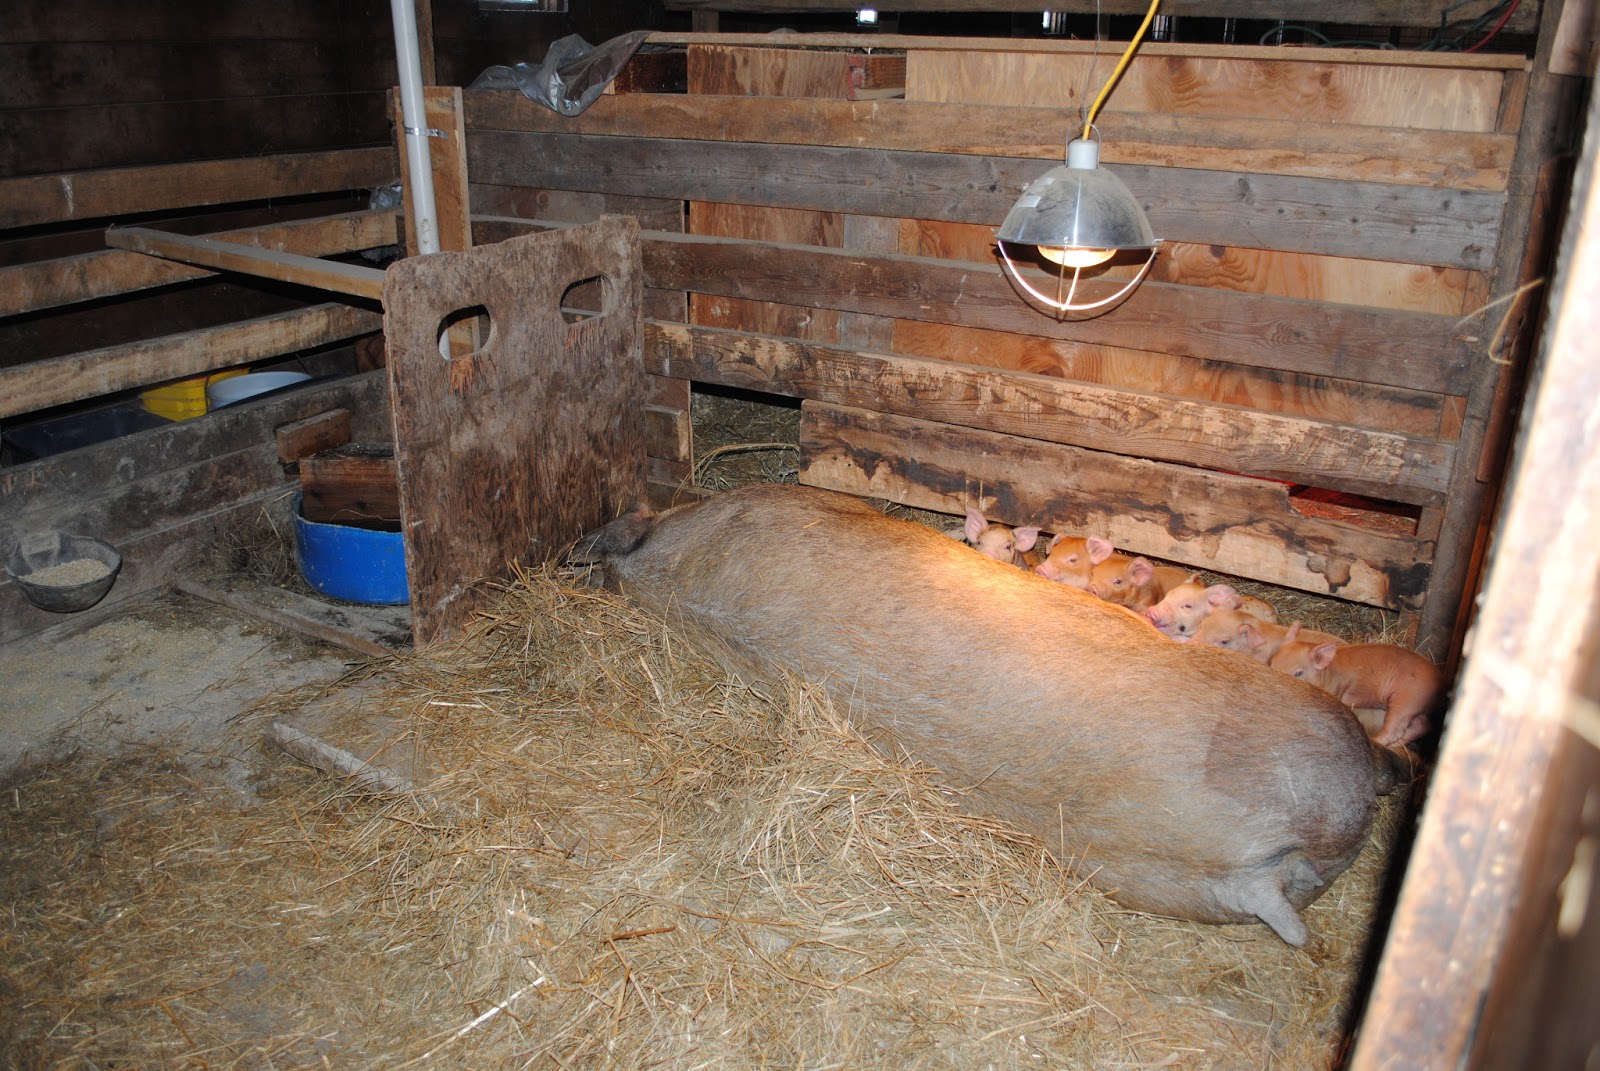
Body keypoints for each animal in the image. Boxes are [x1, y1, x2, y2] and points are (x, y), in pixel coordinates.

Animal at [1270, 639, 1444, 748]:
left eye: (1298, 673)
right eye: (1272, 663)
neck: (1328, 674)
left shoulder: (1337, 690)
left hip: (1408, 699)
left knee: (1395, 730)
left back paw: (1375, 742)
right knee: (1422, 726)